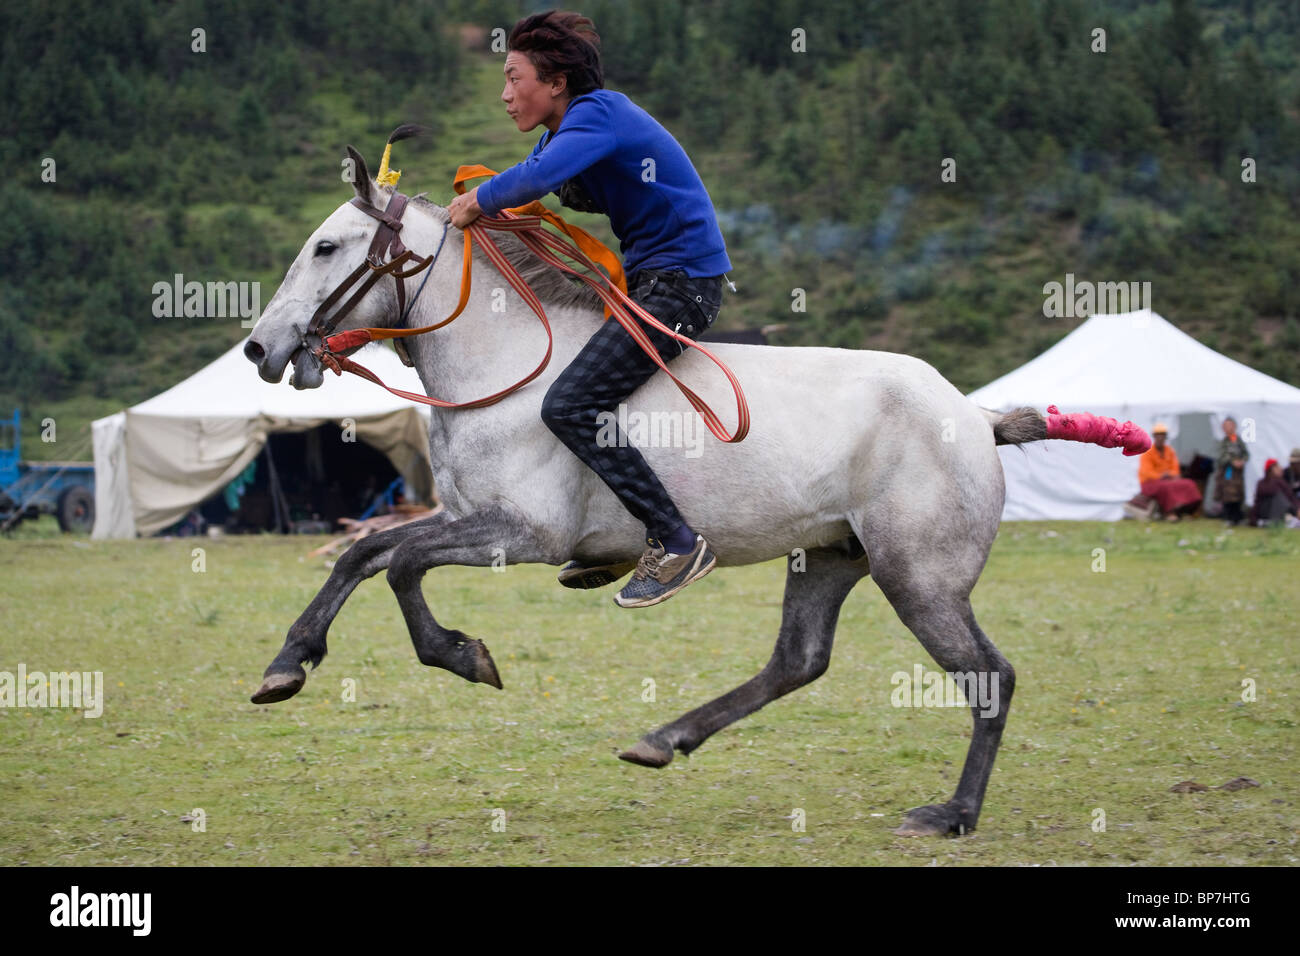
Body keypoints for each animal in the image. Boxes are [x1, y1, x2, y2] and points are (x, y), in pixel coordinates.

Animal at [243, 144, 1146, 836]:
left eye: (327, 247)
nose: (260, 348)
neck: (504, 364)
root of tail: (977, 414)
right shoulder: (463, 517)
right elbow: (364, 554)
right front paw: (288, 665)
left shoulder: (517, 535)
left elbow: (399, 567)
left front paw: (463, 655)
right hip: (829, 557)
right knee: (797, 662)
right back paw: (664, 738)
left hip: (920, 579)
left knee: (991, 676)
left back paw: (953, 813)